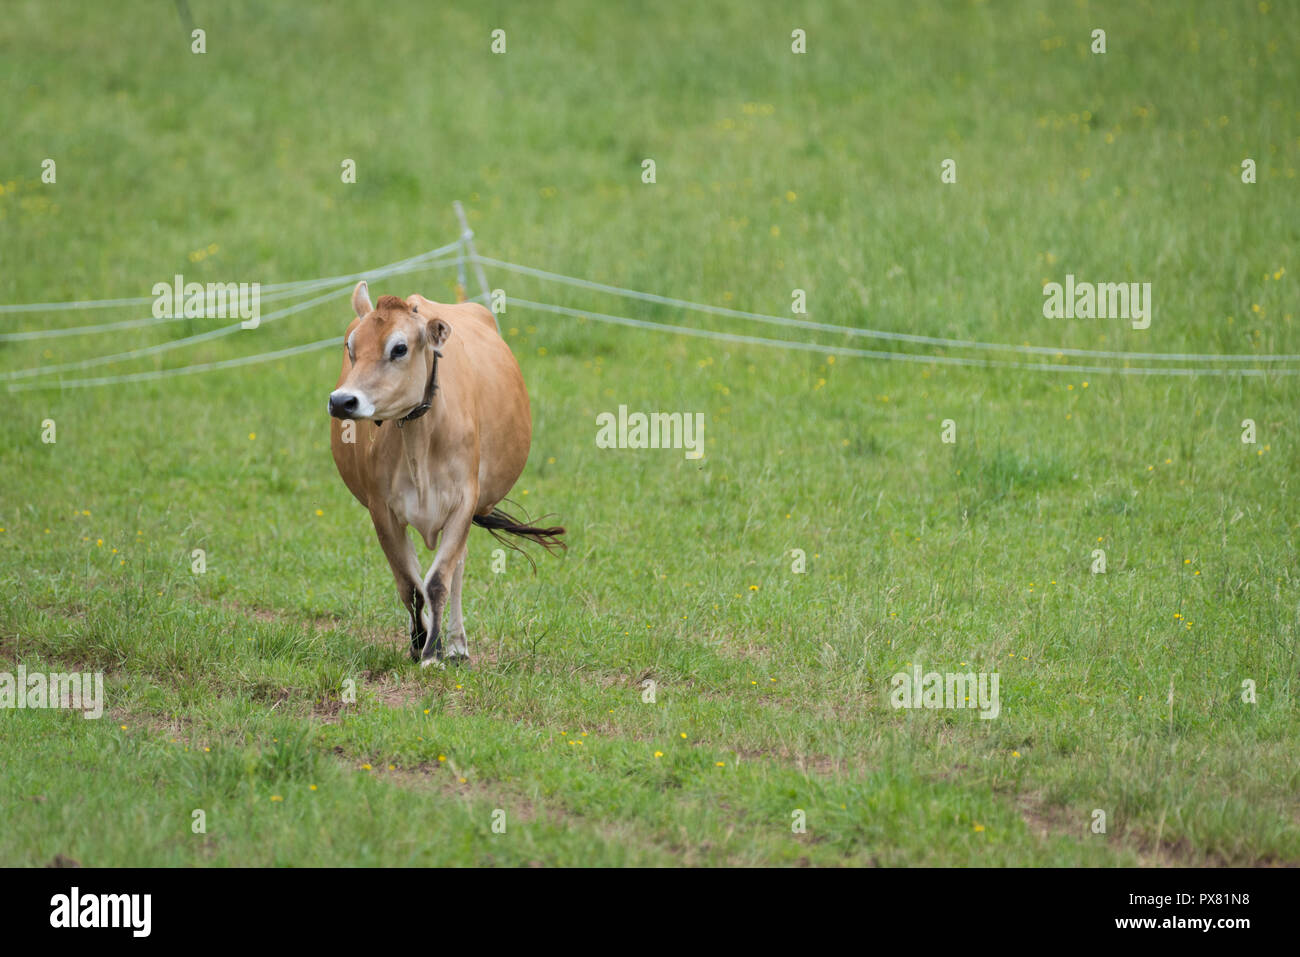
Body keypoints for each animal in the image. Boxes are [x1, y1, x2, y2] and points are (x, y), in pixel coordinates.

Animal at [328, 281, 564, 667]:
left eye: (399, 348)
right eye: (351, 347)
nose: (342, 401)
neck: (419, 441)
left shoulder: (463, 504)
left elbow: (439, 580)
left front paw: (435, 652)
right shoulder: (382, 511)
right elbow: (410, 586)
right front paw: (418, 642)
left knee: (457, 571)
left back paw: (456, 644)